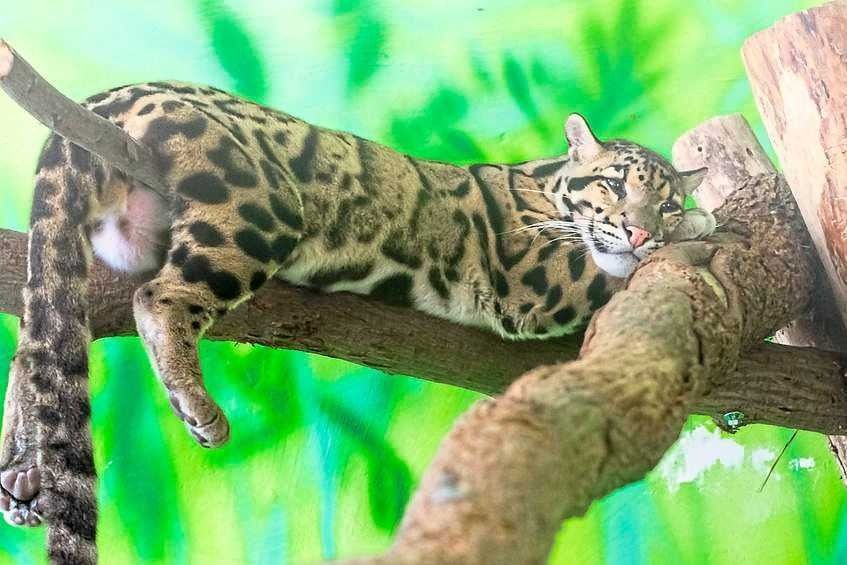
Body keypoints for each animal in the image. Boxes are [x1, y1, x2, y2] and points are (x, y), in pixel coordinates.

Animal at [0, 81, 713, 564]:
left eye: (665, 200)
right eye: (614, 186)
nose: (645, 226)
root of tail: (110, 97)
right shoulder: (530, 273)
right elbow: (604, 264)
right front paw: (707, 226)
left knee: (36, 347)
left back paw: (22, 470)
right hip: (261, 208)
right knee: (157, 298)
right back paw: (195, 403)